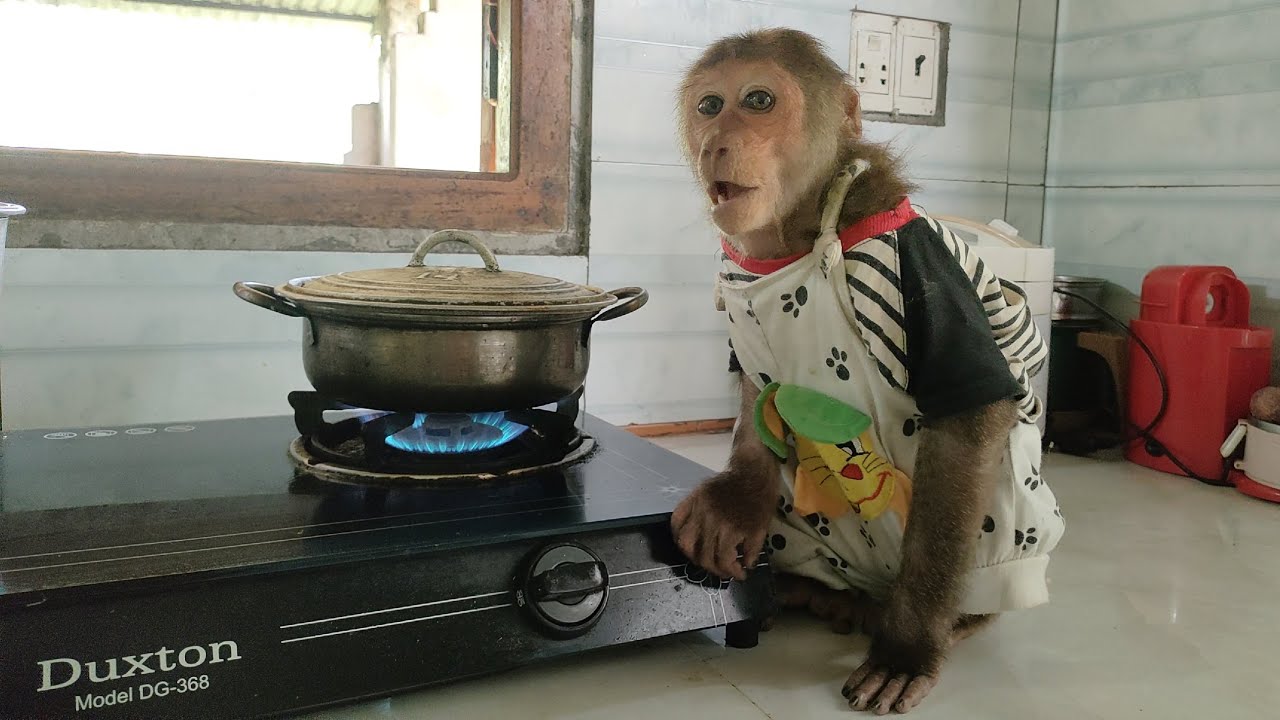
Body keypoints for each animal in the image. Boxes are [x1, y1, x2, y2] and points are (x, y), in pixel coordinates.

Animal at [670, 29, 1063, 714]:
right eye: (710, 106)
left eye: (758, 100)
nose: (715, 139)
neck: (798, 239)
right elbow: (752, 388)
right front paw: (737, 502)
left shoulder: (922, 266)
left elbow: (970, 416)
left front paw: (909, 646)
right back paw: (815, 594)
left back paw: (941, 620)